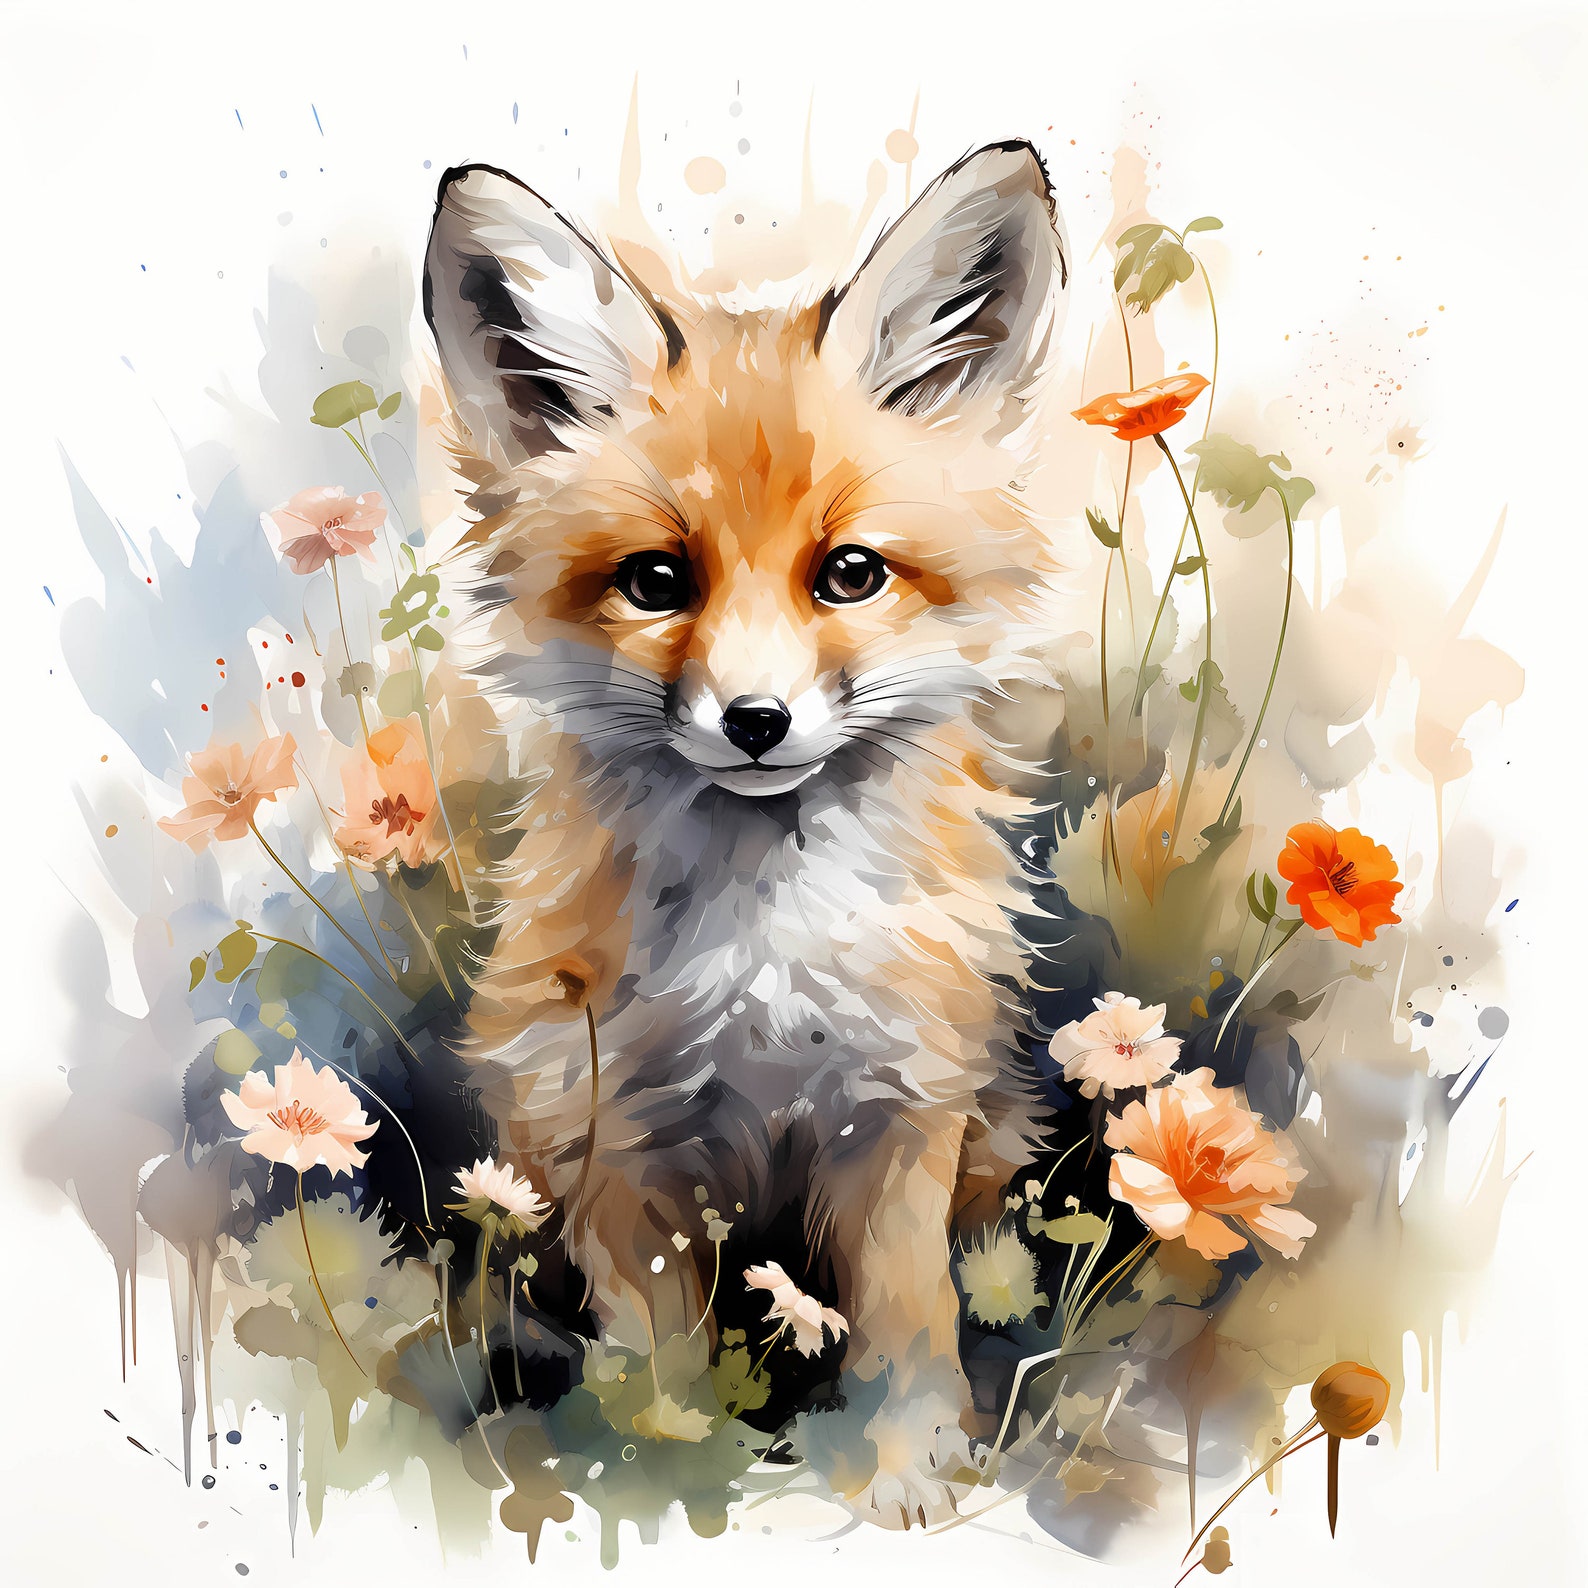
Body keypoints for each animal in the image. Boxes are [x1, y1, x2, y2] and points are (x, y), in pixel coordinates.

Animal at [422, 139, 1075, 1528]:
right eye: (657, 582)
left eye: (850, 574)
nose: (757, 722)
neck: (765, 955)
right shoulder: (623, 1140)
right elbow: (659, 1359)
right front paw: (661, 1471)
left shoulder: (899, 1110)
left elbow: (906, 1323)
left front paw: (904, 1470)